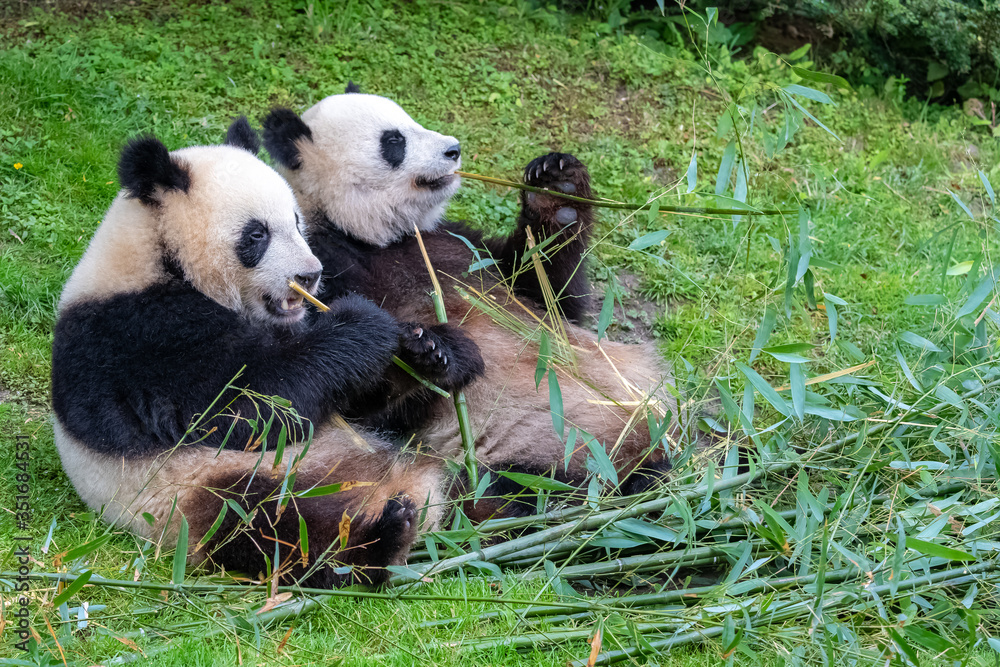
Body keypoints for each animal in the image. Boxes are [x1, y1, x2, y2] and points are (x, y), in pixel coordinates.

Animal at [50, 118, 484, 587]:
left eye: (296, 221)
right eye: (256, 234)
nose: (310, 276)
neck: (157, 257)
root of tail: (408, 487)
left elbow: (348, 402)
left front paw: (431, 350)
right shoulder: (136, 338)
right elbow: (247, 407)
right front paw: (361, 325)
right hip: (196, 491)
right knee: (269, 525)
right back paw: (379, 539)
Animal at [261, 90, 680, 520]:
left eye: (412, 120)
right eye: (394, 141)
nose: (453, 149)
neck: (373, 236)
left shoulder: (464, 246)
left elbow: (552, 295)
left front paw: (556, 189)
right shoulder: (316, 278)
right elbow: (347, 402)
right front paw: (428, 353)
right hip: (520, 463)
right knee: (512, 494)